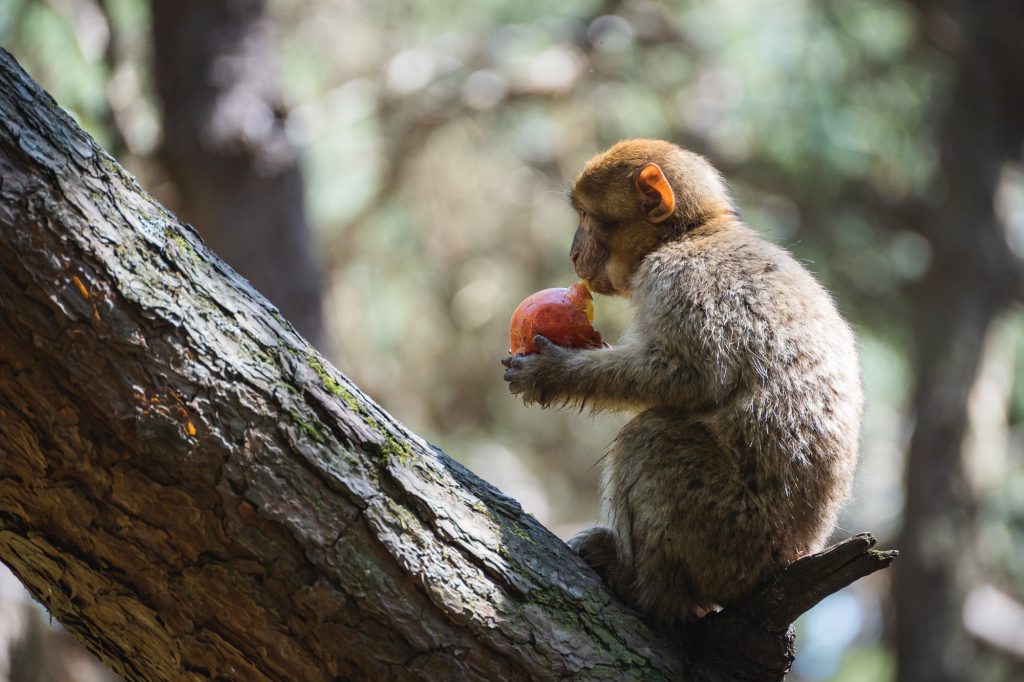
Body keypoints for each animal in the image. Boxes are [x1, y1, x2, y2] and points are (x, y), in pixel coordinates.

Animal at [502, 139, 863, 625]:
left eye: (587, 217)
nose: (574, 254)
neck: (692, 233)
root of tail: (791, 557)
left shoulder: (678, 277)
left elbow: (691, 378)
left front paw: (552, 374)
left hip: (730, 539)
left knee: (654, 435)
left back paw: (649, 593)